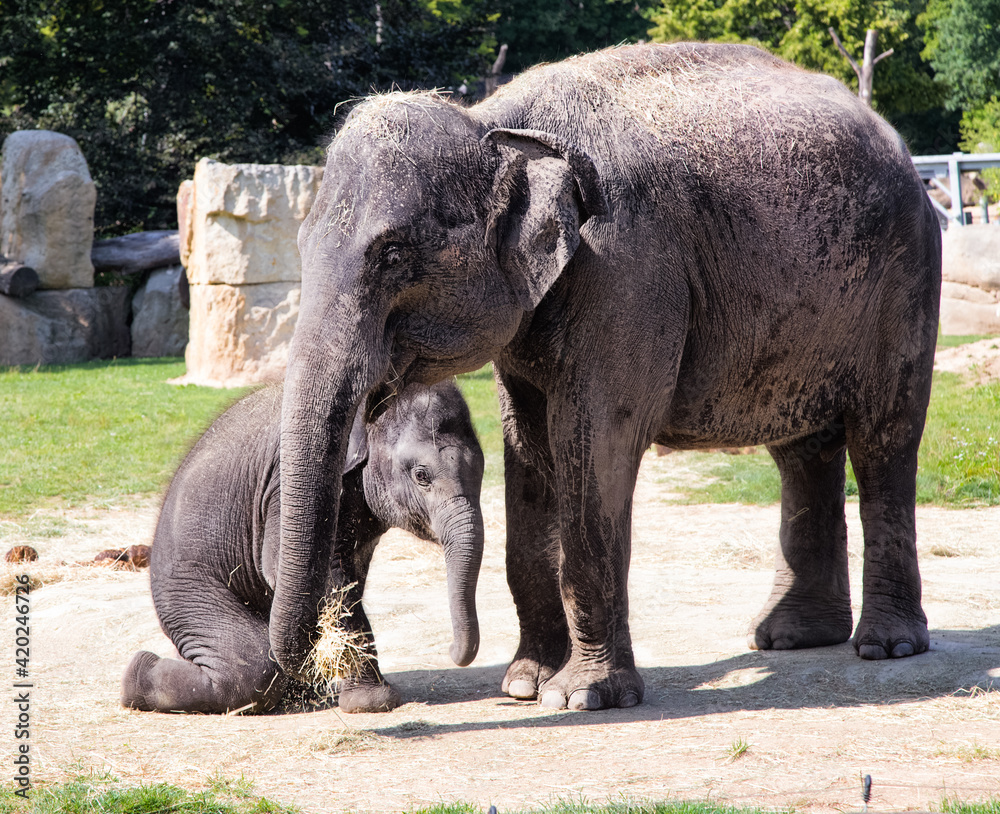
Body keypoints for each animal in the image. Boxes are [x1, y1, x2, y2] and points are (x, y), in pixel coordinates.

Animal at [121, 379, 485, 714]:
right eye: (422, 475)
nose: (451, 650)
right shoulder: (287, 483)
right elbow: (313, 574)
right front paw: (373, 704)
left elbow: (348, 573)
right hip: (188, 593)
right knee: (251, 667)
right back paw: (135, 672)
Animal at [273, 42, 942, 712]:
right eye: (297, 244)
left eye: (392, 255)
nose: (310, 665)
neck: (493, 122)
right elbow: (529, 448)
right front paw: (525, 684)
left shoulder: (626, 271)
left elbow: (595, 440)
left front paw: (582, 697)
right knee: (803, 450)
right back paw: (790, 636)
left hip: (907, 278)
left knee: (884, 440)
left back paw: (886, 645)